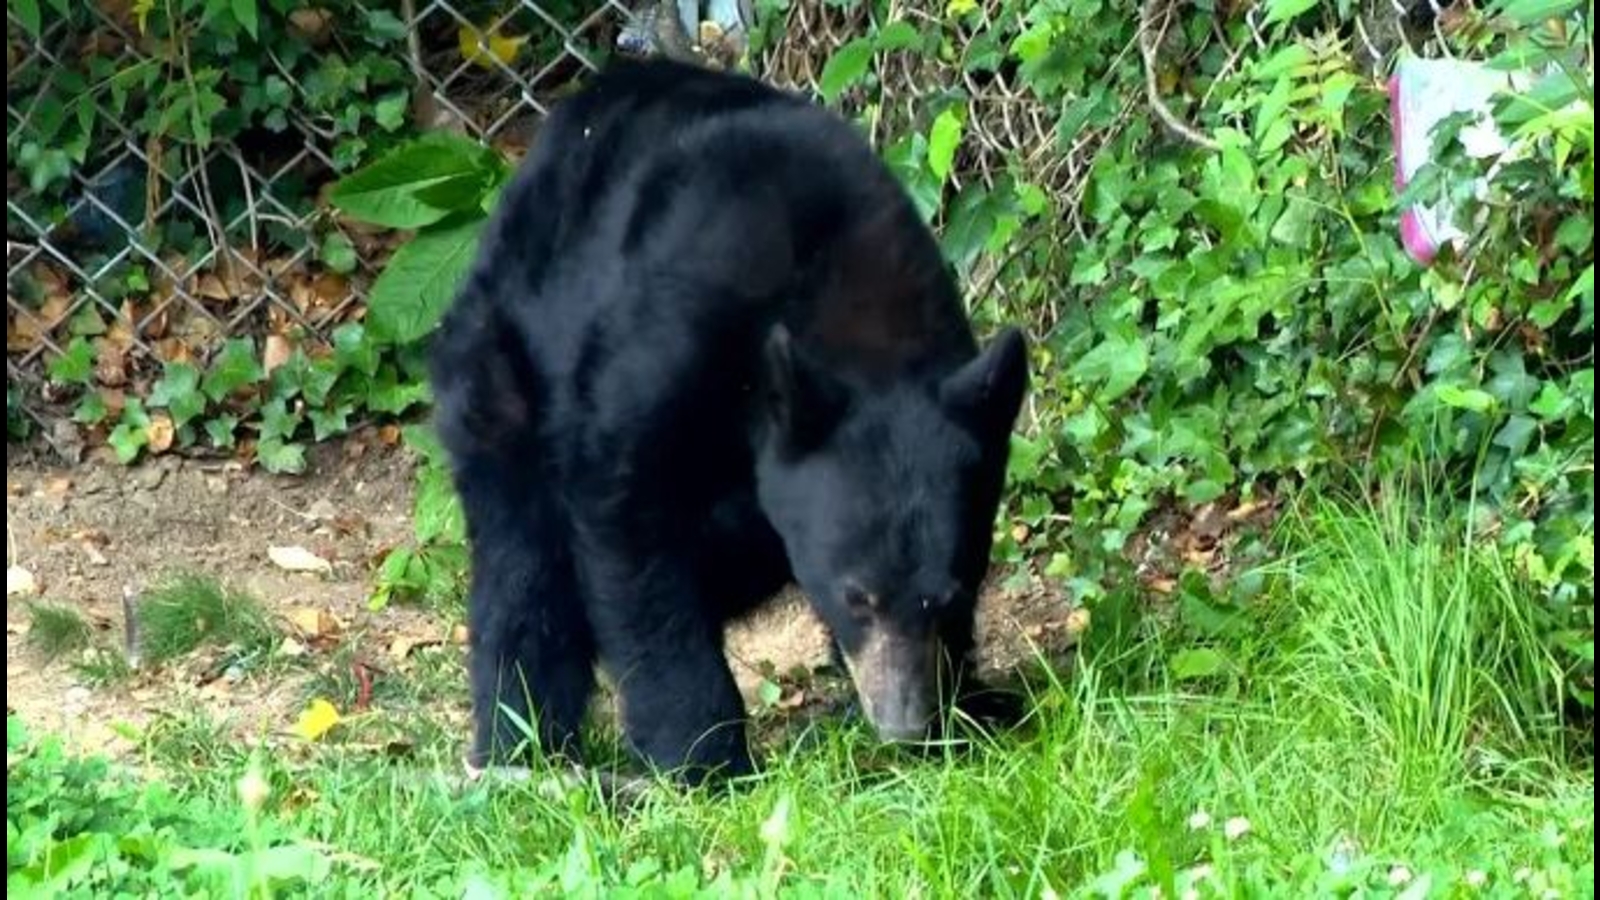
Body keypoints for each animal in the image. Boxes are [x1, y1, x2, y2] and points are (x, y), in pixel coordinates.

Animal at [427, 57, 1030, 786]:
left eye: (951, 596)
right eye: (858, 596)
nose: (904, 725)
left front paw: (972, 707)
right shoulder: (668, 330)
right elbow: (624, 513)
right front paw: (704, 756)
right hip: (501, 366)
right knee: (525, 563)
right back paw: (522, 745)